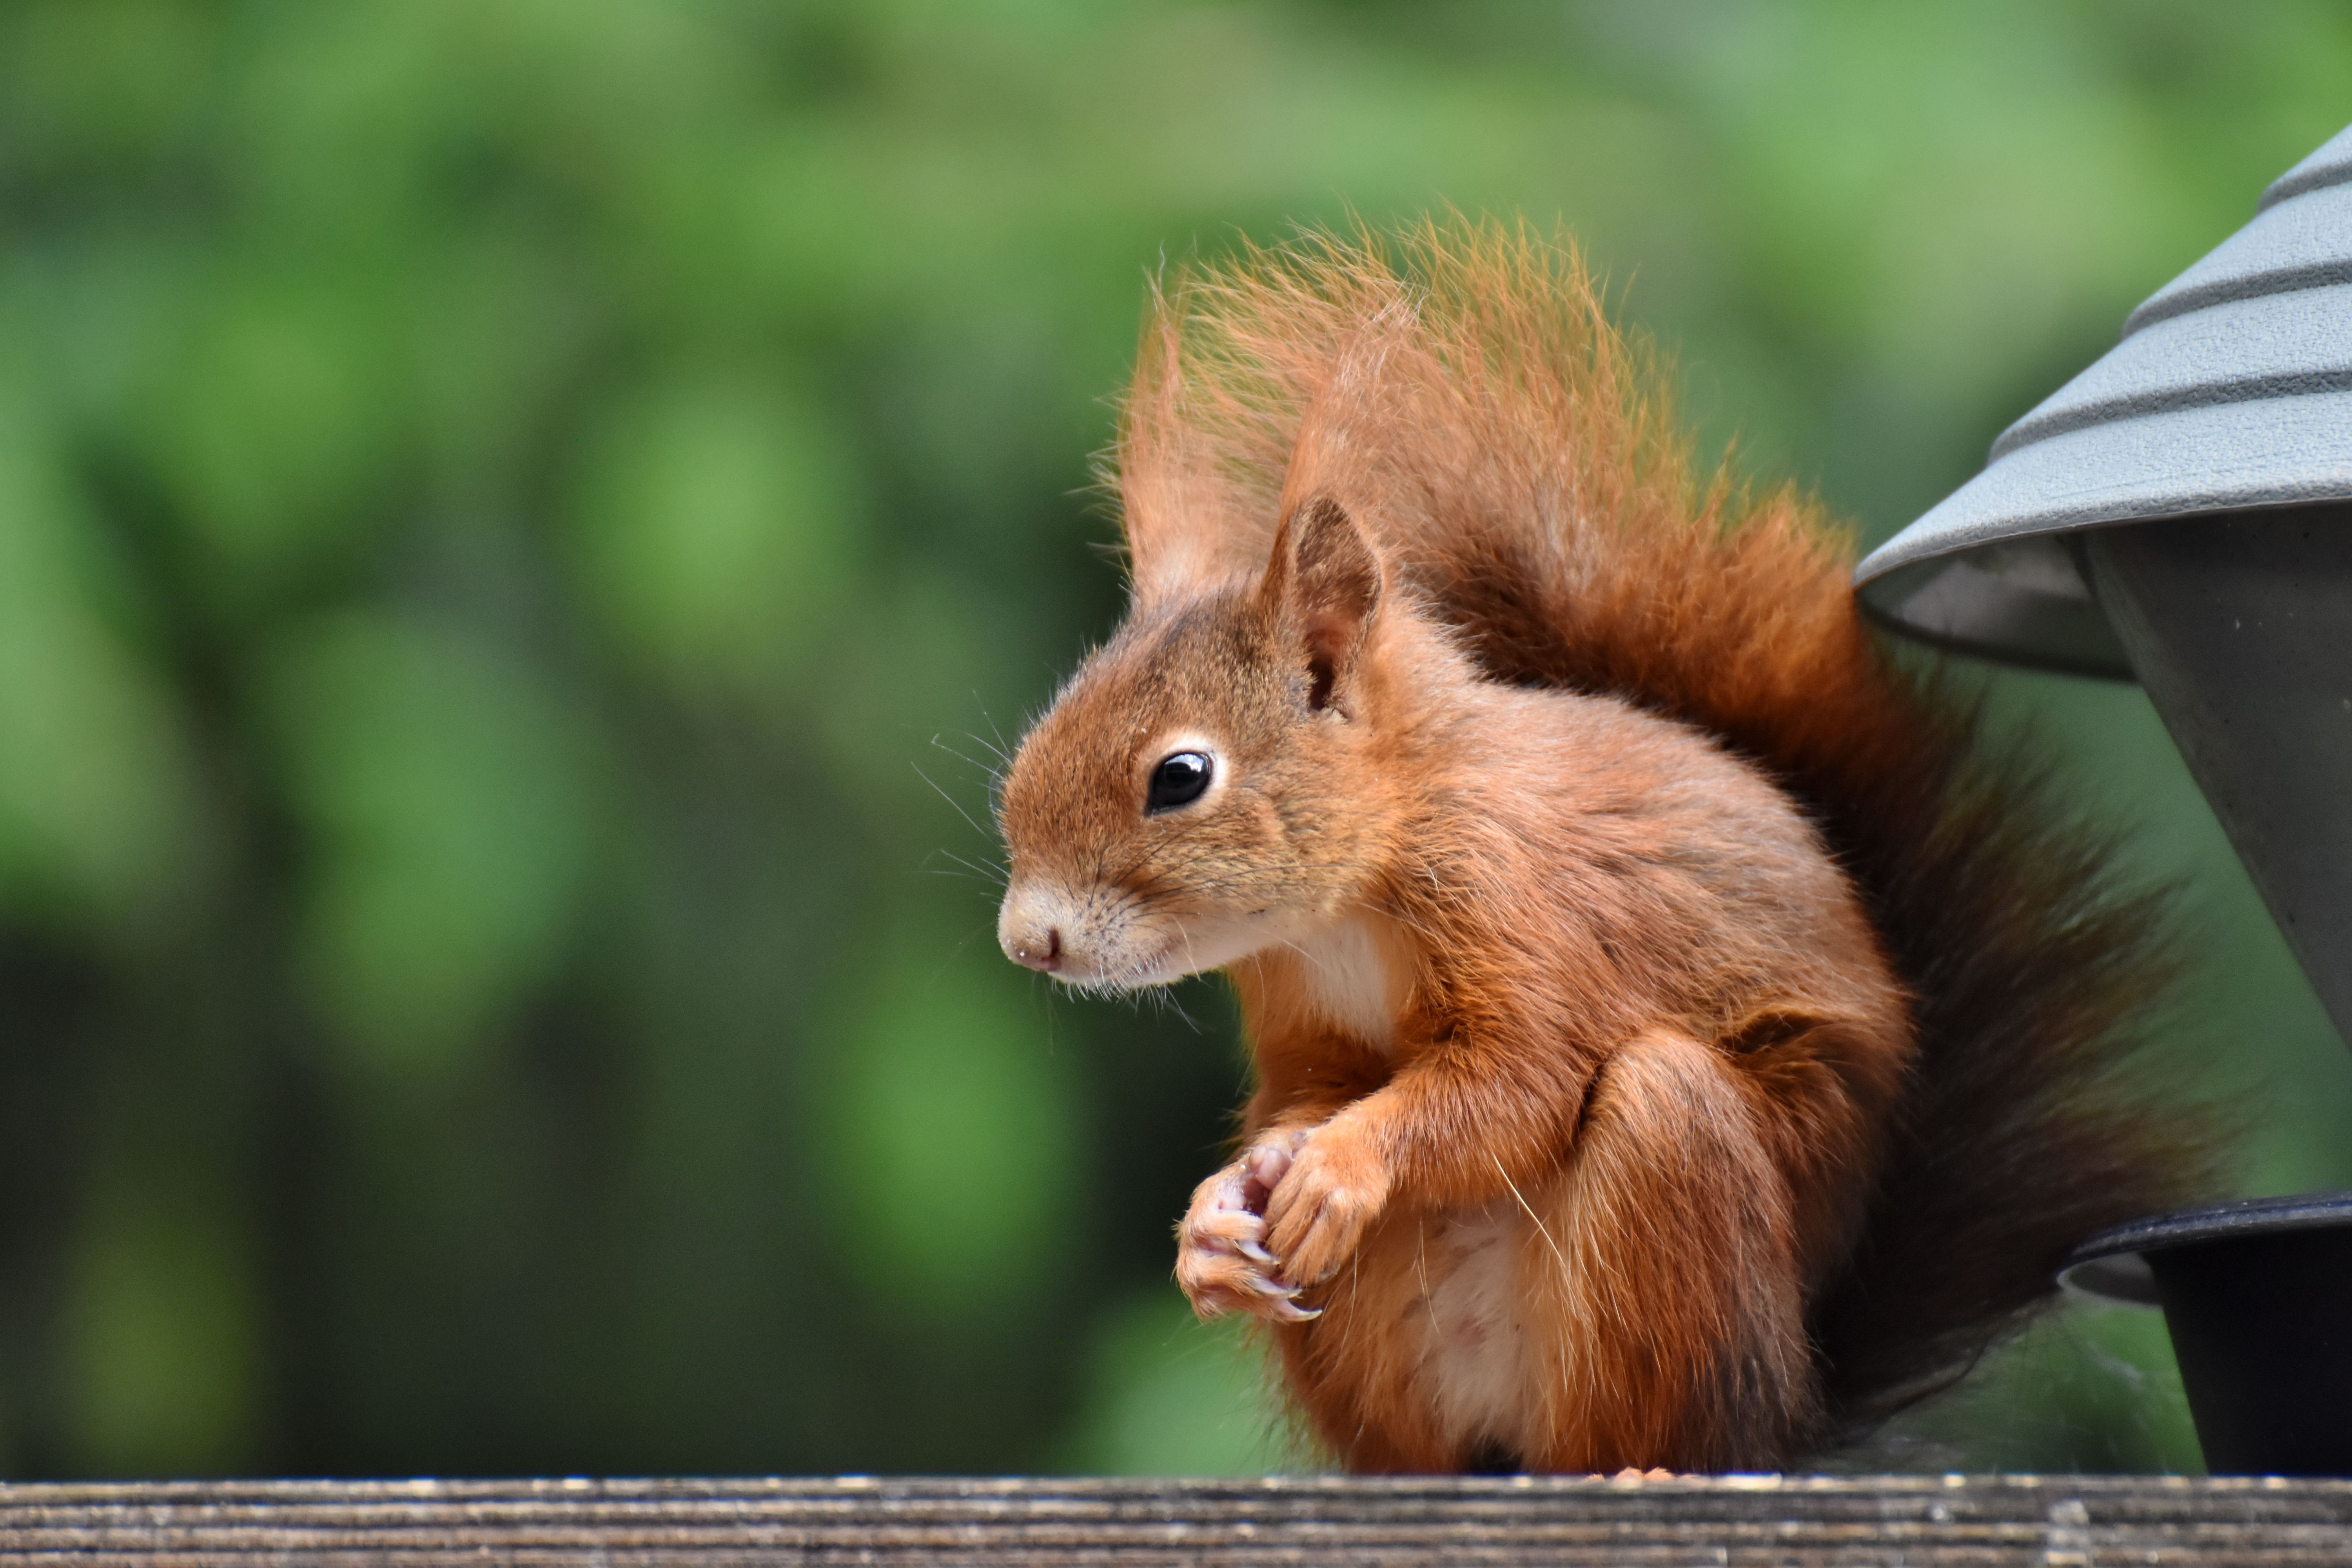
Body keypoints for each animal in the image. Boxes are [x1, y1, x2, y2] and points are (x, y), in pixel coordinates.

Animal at [991, 220, 2211, 1473]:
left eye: (1180, 778)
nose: (1025, 940)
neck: (1350, 898)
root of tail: (1791, 1400)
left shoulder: (1524, 904)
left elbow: (1514, 1084)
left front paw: (1340, 1164)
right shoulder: (1296, 1005)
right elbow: (1309, 1090)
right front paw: (1214, 1214)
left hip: (1677, 1193)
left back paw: (1643, 1460)